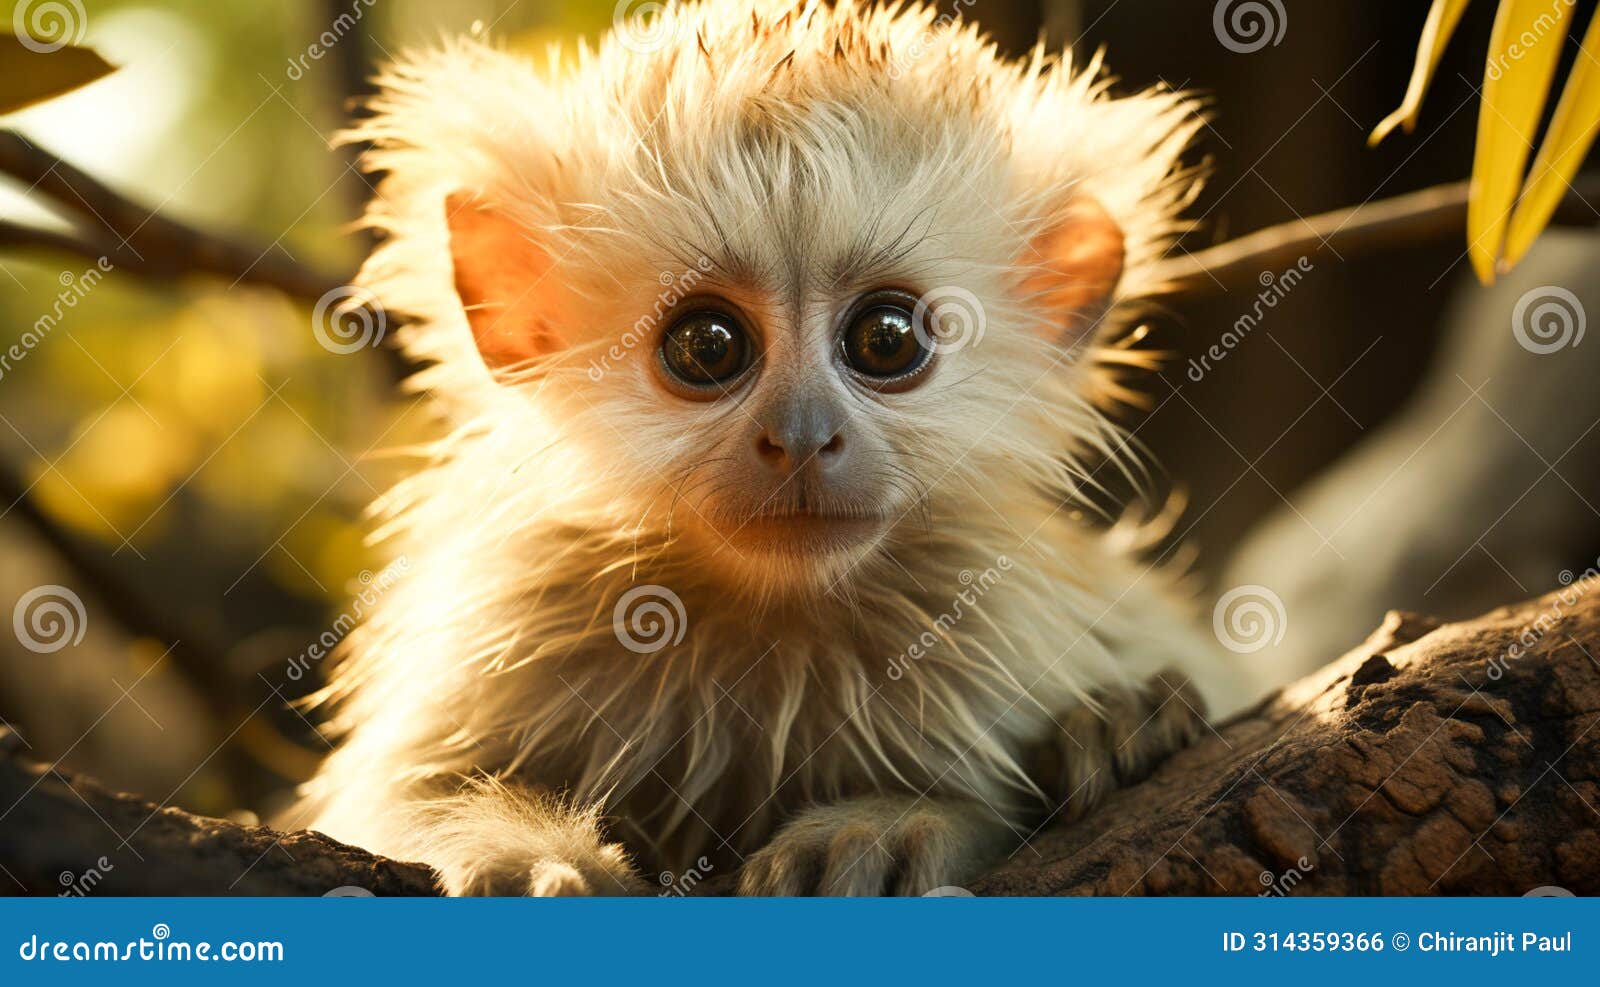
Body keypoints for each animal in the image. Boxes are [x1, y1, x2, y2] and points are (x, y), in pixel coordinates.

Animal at [289, 0, 1271, 896]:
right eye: (708, 346)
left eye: (885, 339)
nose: (801, 435)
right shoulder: (516, 595)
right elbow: (389, 798)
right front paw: (521, 848)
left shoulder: (1002, 603)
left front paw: (895, 824)